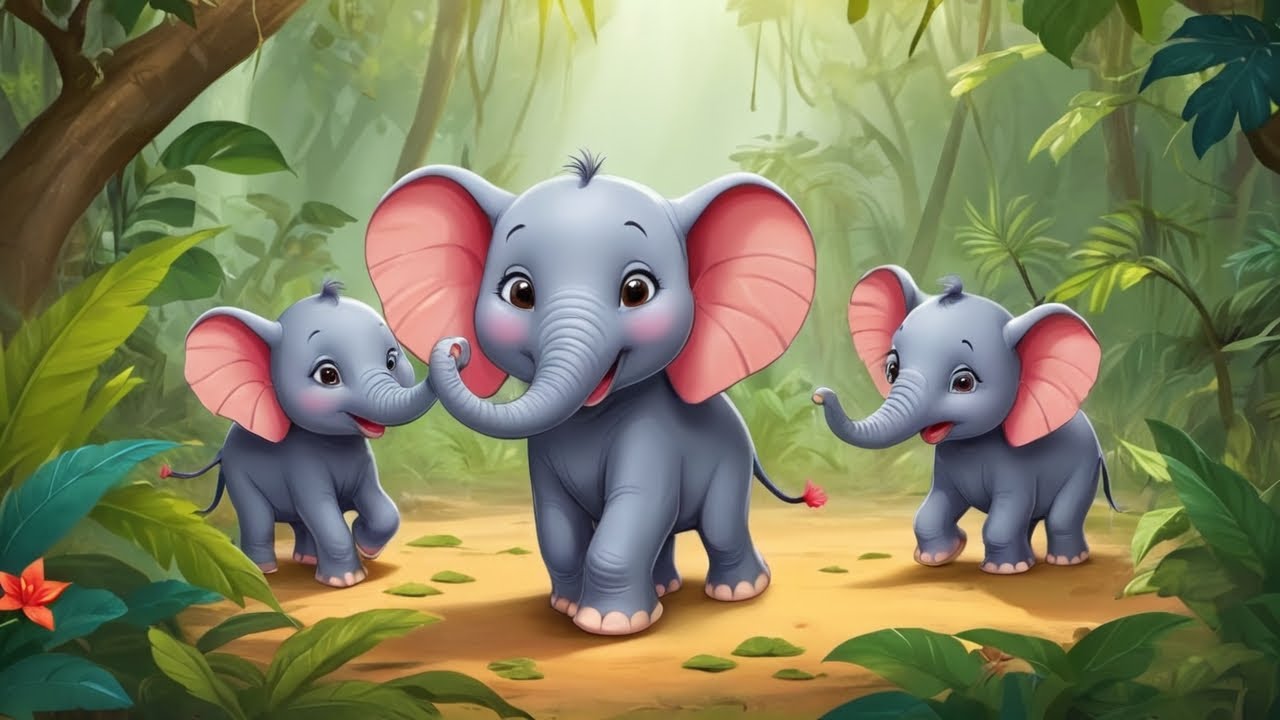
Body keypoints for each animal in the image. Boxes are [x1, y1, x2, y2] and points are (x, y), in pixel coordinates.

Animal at [162, 280, 442, 588]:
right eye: (328, 375)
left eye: (391, 361)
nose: (455, 348)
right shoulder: (301, 465)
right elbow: (322, 512)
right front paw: (347, 579)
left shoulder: (365, 464)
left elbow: (383, 508)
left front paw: (366, 545)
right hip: (239, 477)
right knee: (258, 518)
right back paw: (265, 570)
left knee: (299, 522)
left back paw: (306, 560)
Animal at [363, 150, 827, 636]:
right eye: (520, 292)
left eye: (636, 290)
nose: (455, 348)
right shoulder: (543, 452)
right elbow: (555, 525)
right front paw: (567, 607)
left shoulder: (654, 437)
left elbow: (635, 511)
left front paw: (610, 624)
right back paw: (665, 589)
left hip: (732, 463)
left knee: (720, 526)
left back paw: (738, 591)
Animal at [812, 265, 1117, 575]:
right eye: (892, 369)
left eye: (963, 382)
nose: (819, 394)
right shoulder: (946, 467)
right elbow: (931, 509)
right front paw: (939, 557)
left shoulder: (1019, 468)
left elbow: (1005, 514)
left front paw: (1002, 570)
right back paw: (1031, 560)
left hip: (1086, 467)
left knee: (1062, 517)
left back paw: (1065, 561)